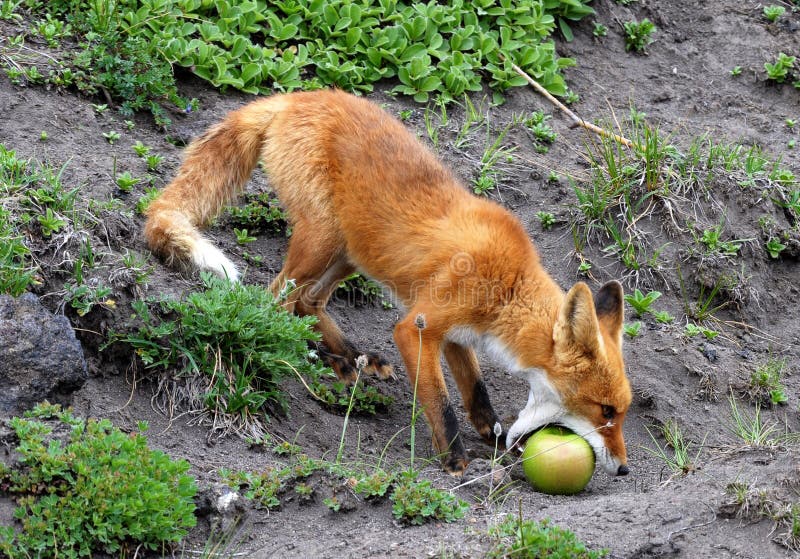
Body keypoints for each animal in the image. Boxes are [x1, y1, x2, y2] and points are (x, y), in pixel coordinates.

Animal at [144, 89, 632, 477]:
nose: (625, 469)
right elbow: (440, 402)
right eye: (605, 411)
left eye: (621, 413)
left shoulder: (457, 335)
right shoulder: (419, 328)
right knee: (275, 302)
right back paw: (304, 356)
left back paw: (348, 357)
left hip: (351, 251)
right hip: (322, 240)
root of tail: (297, 95)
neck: (507, 285)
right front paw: (455, 460)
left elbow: (477, 394)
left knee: (308, 301)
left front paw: (492, 438)